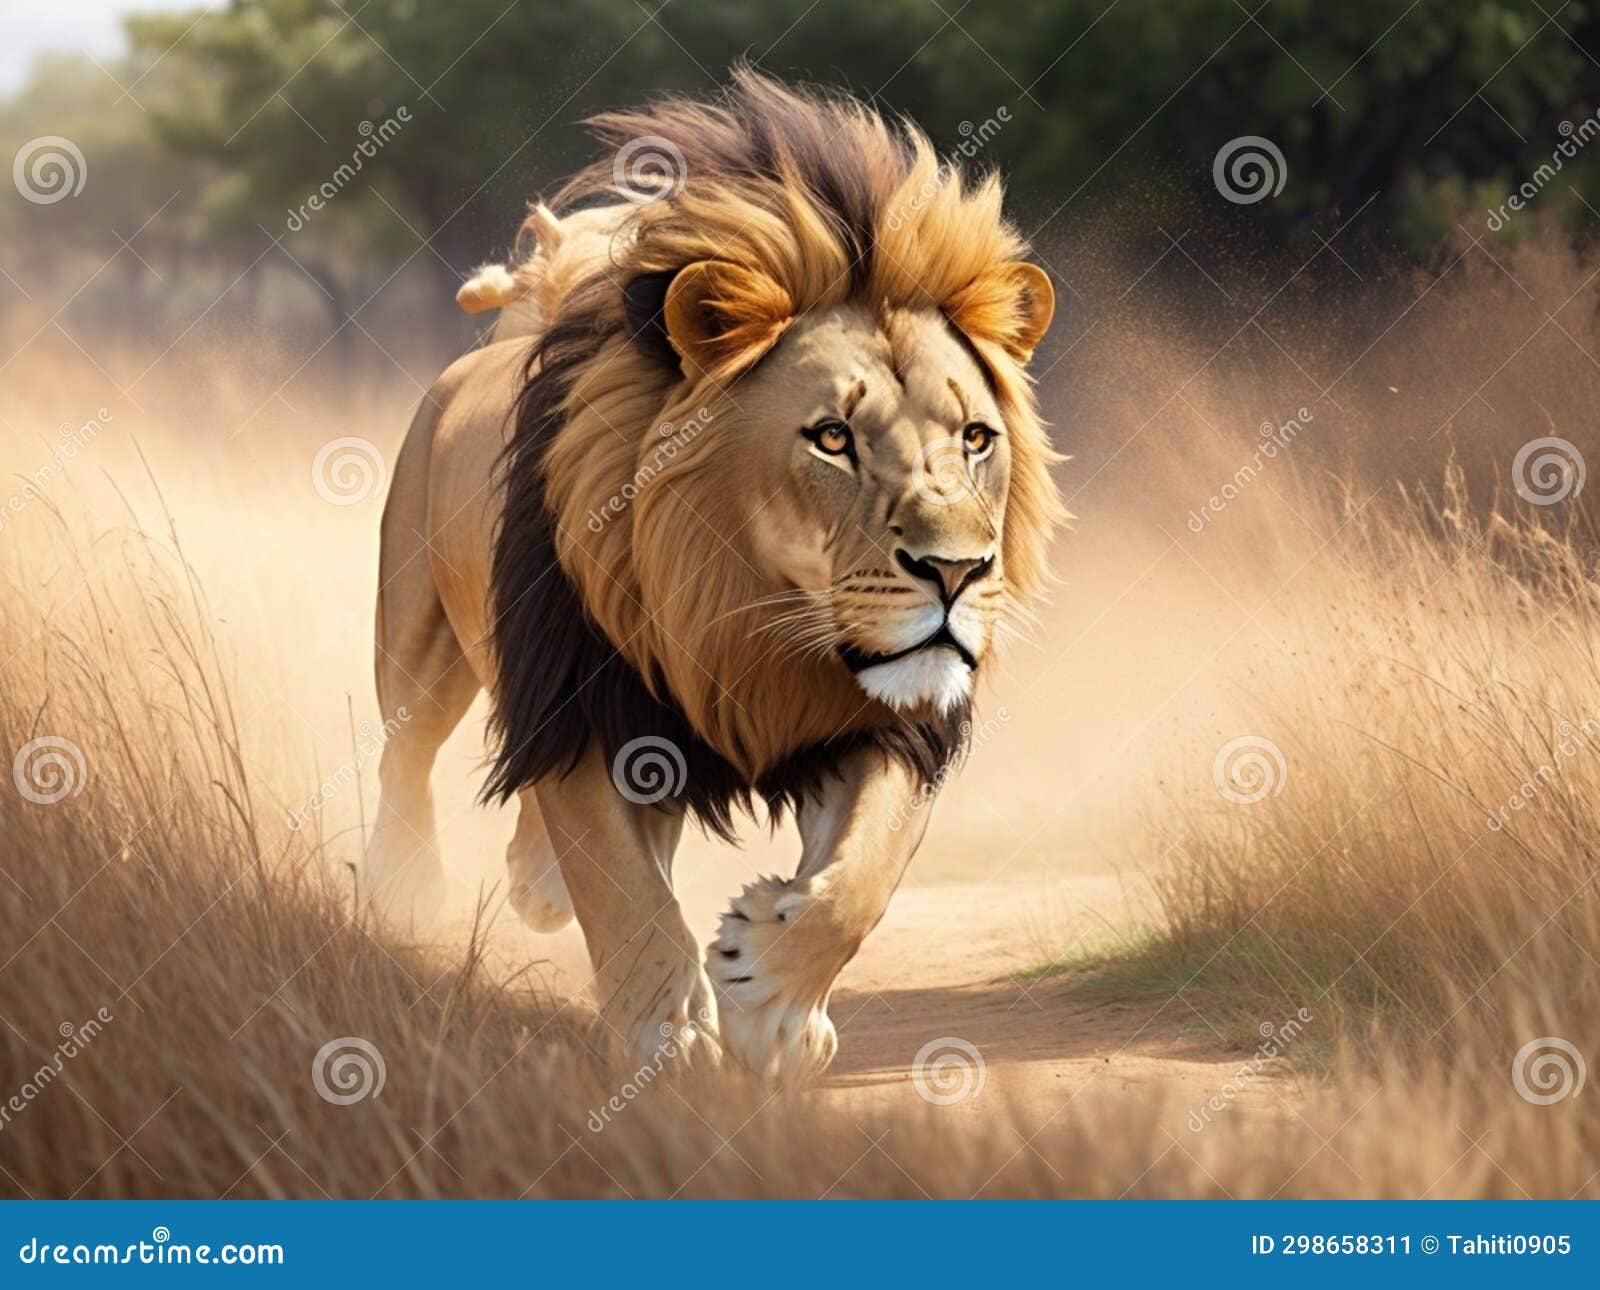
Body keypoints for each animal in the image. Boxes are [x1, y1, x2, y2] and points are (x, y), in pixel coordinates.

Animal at [363, 71, 1064, 1080]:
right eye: (832, 438)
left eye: (975, 439)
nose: (957, 572)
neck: (745, 618)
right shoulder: (587, 706)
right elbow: (624, 892)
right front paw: (666, 1039)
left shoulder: (879, 726)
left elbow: (865, 874)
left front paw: (770, 996)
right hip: (421, 641)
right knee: (404, 756)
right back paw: (404, 889)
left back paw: (535, 885)